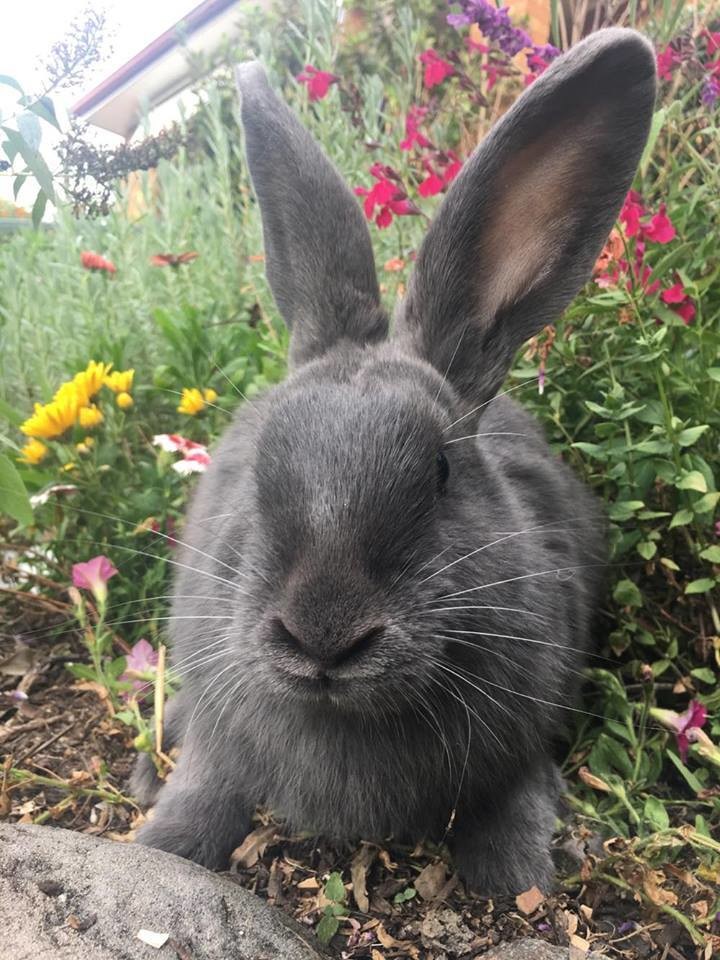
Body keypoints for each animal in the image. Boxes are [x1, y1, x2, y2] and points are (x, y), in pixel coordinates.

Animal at [132, 28, 656, 895]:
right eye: (261, 460)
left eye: (441, 472)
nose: (324, 636)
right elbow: (204, 786)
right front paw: (162, 846)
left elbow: (514, 795)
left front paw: (515, 875)